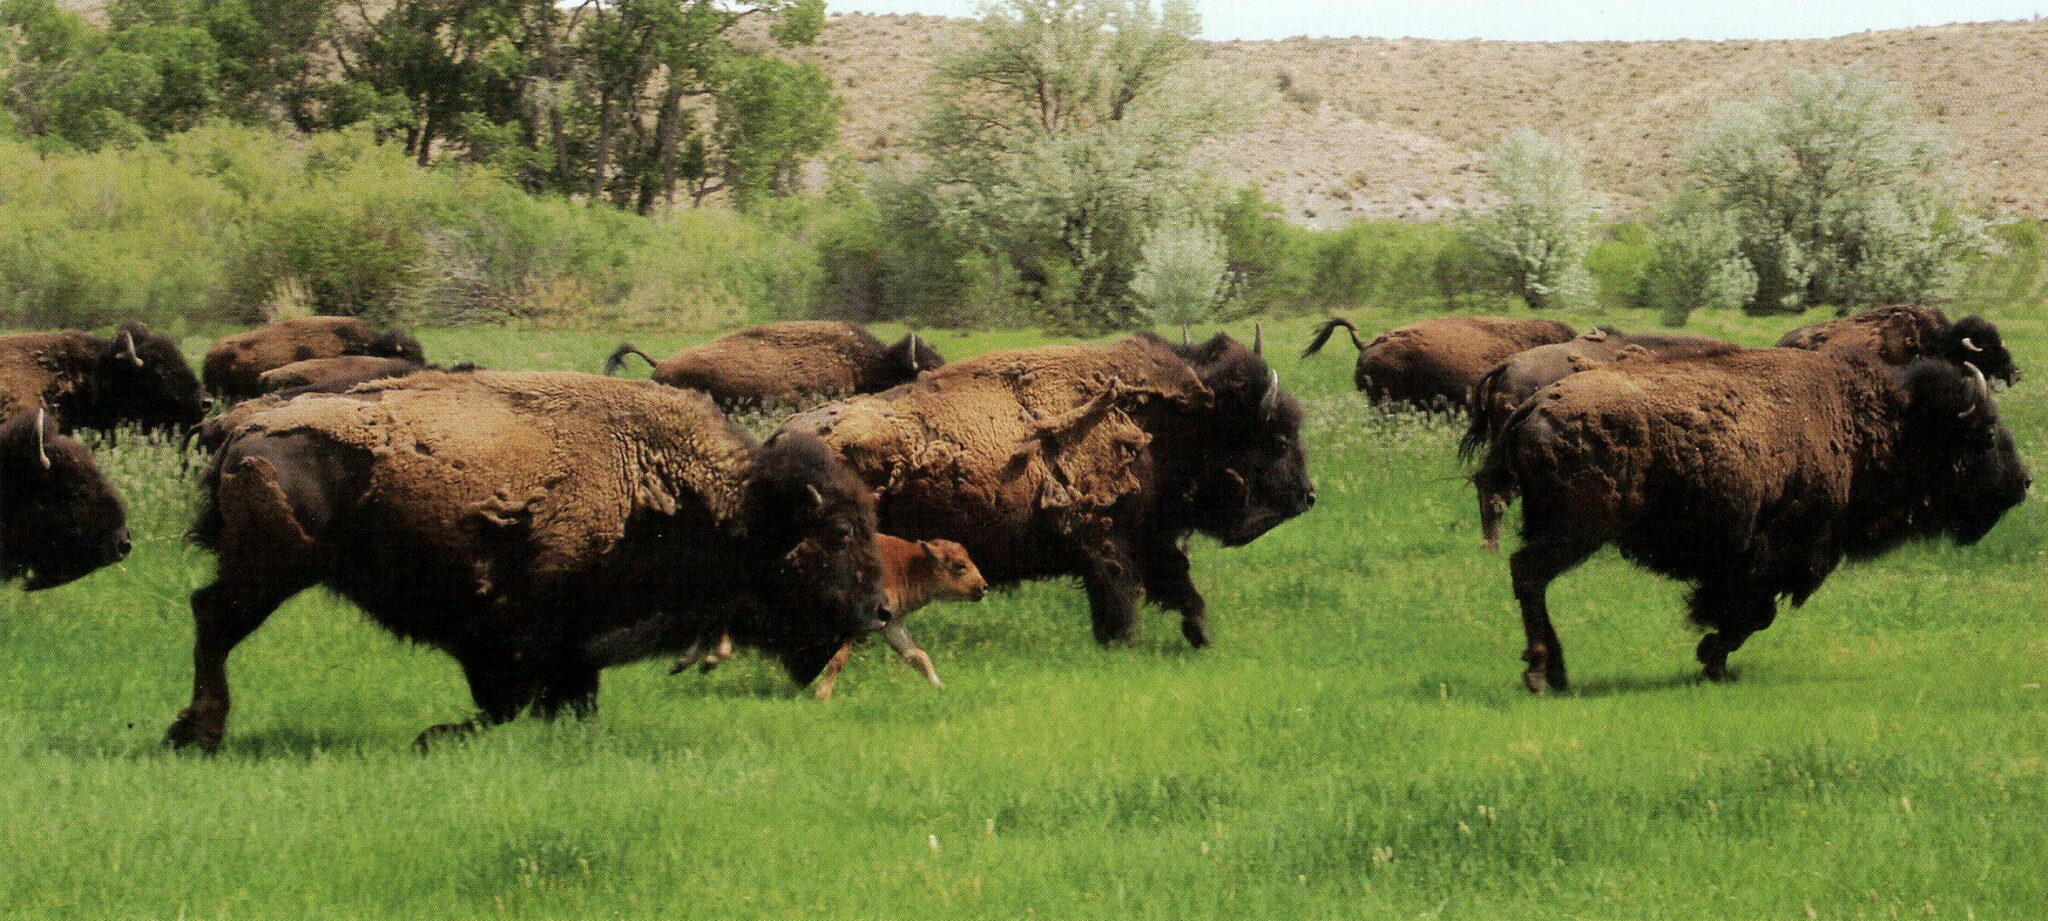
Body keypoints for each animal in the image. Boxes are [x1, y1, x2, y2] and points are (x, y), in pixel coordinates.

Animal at [167, 371, 888, 751]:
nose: (880, 610)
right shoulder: (514, 638)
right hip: (269, 572)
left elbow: (562, 696)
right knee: (214, 621)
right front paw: (436, 735)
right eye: (839, 532)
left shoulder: (564, 649)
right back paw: (196, 732)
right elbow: (508, 699)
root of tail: (239, 425)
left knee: (210, 619)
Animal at [780, 333, 1313, 648]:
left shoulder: (1152, 538)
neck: (1172, 425)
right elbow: (1122, 597)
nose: (1309, 496)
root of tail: (780, 439)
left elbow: (1181, 587)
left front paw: (1201, 637)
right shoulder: (1108, 544)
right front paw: (1123, 646)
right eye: (1279, 438)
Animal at [1475, 349, 2029, 692]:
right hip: (1578, 531)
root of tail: (1532, 406)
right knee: (1529, 573)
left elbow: (1750, 614)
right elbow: (1752, 614)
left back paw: (1556, 673)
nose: (2023, 483)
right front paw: (1712, 659)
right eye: (1985, 435)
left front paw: (1712, 659)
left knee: (1531, 578)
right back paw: (1542, 674)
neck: (1863, 422)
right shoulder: (1774, 556)